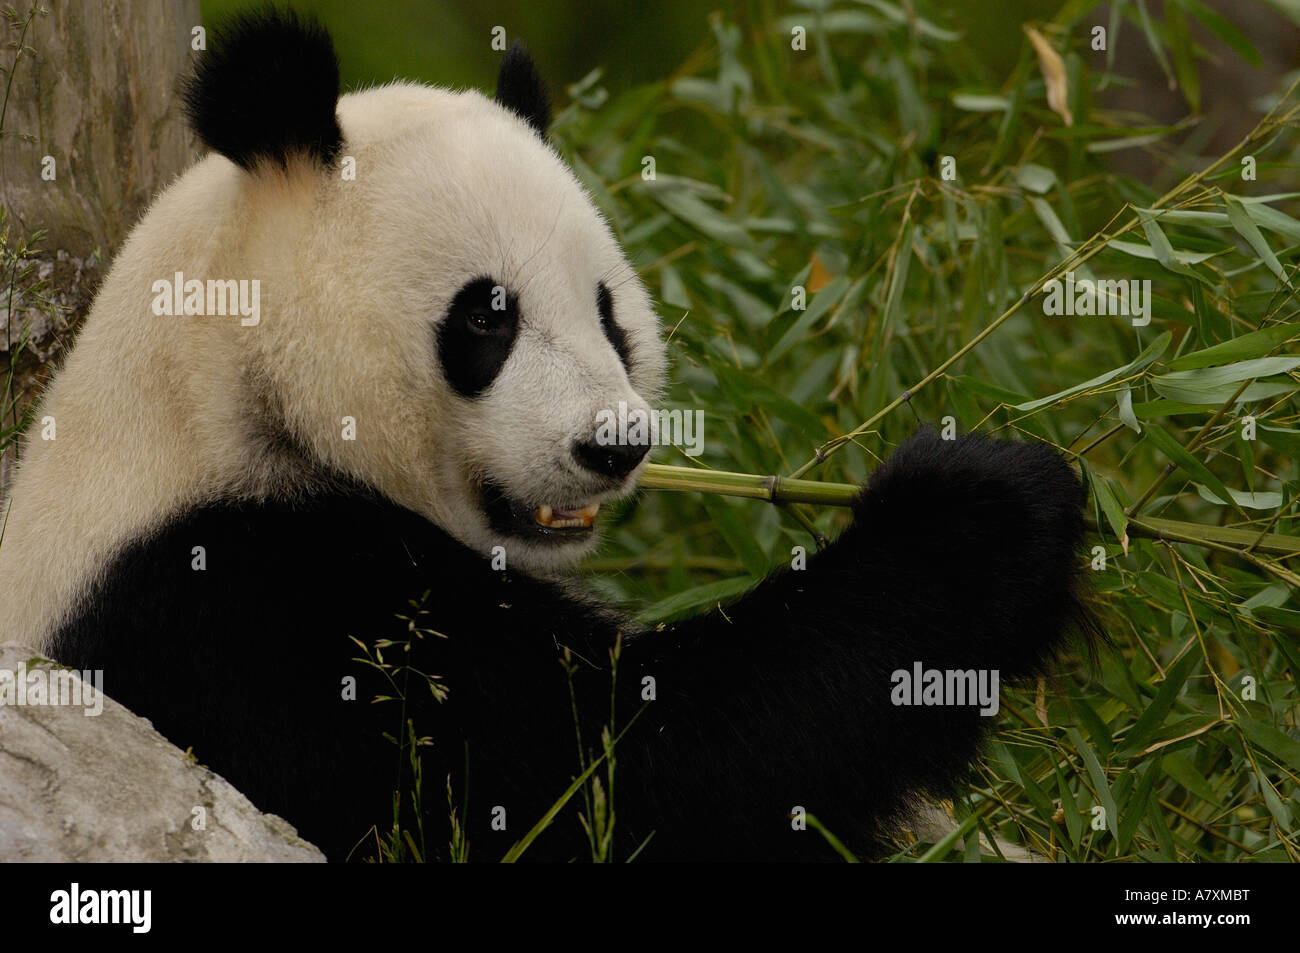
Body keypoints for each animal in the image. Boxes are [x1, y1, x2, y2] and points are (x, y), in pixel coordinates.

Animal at [0, 10, 1090, 861]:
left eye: (609, 313)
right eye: (487, 317)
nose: (614, 447)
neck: (224, 387)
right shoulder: (237, 604)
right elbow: (611, 777)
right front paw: (984, 516)